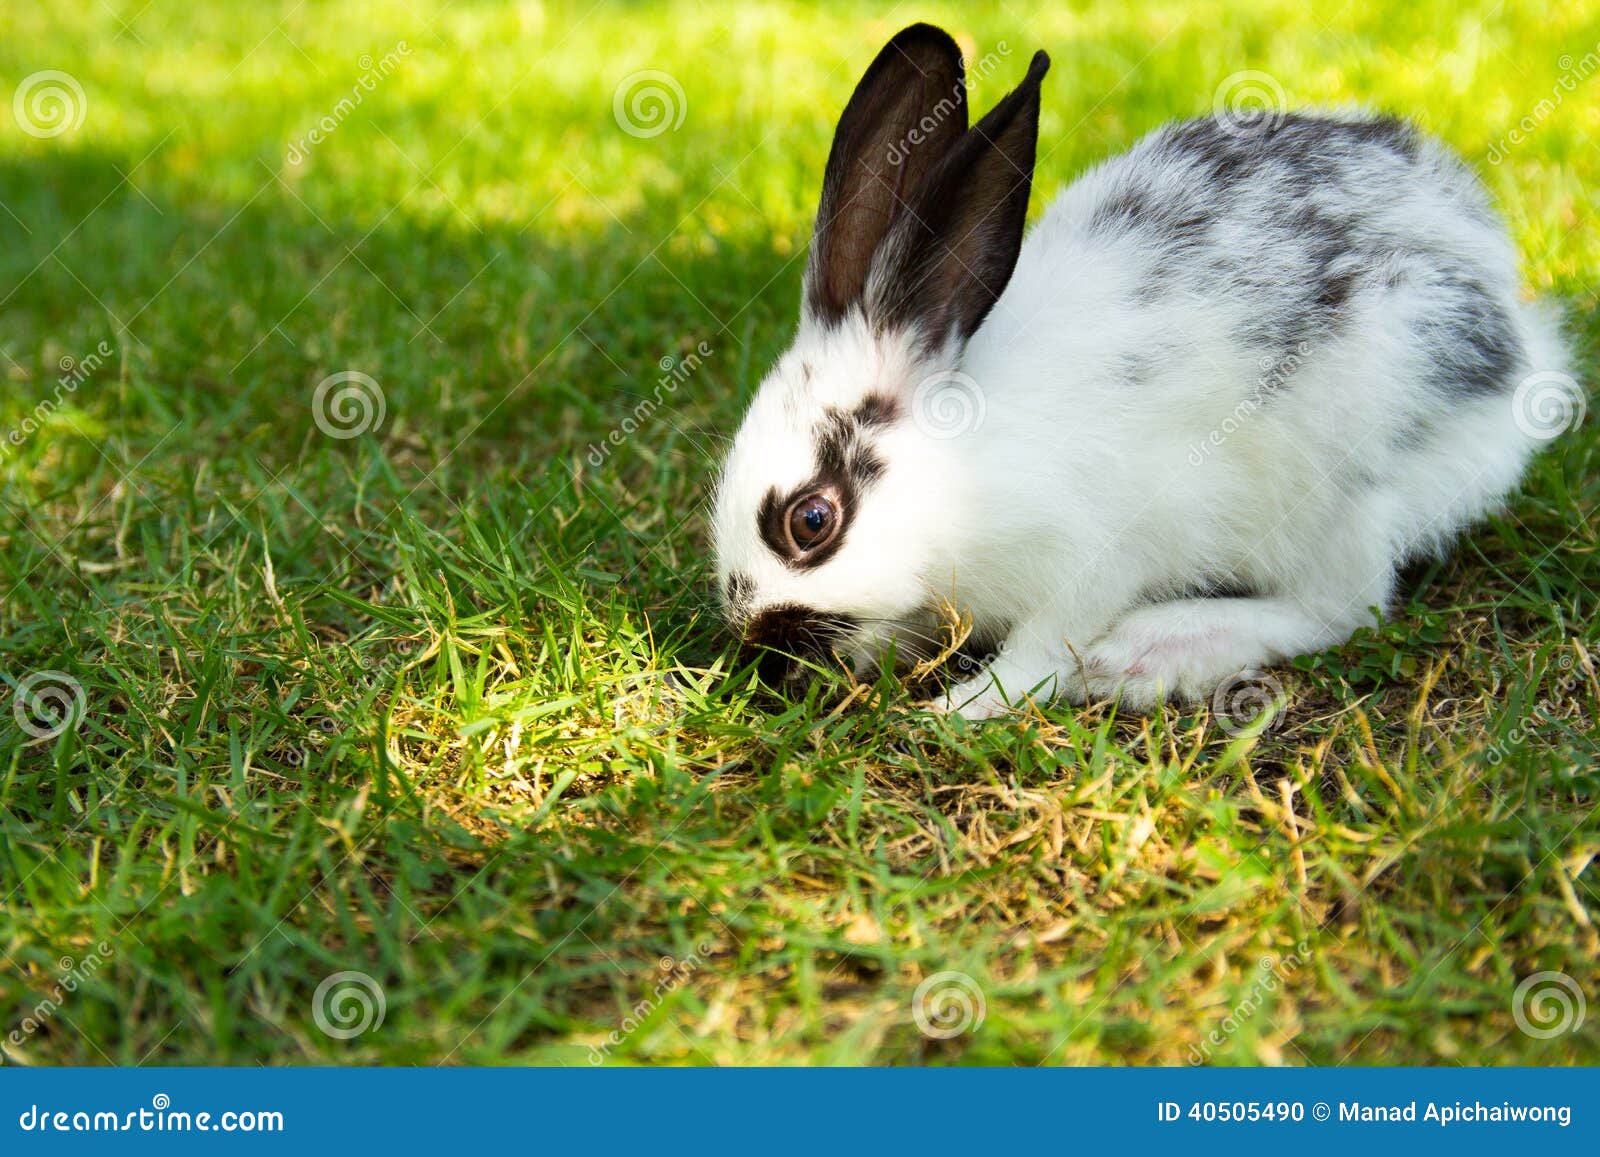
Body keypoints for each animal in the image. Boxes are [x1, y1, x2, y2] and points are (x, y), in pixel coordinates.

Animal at [710, 23, 1572, 720]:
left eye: (810, 521)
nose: (760, 643)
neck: (958, 470)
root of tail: (1521, 342)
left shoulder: (1090, 553)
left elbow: (1041, 649)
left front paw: (958, 708)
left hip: (1346, 478)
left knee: (1340, 606)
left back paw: (1153, 650)